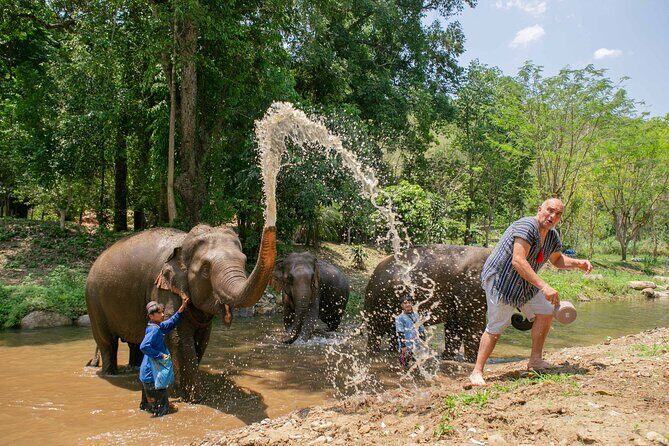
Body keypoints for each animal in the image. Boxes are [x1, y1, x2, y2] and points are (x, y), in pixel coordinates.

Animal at [85, 224, 276, 401]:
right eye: (205, 270)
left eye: (244, 261)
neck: (183, 244)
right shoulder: (163, 288)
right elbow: (178, 339)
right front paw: (195, 398)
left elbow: (202, 340)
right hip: (94, 301)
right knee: (107, 343)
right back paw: (111, 373)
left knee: (136, 343)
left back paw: (134, 369)